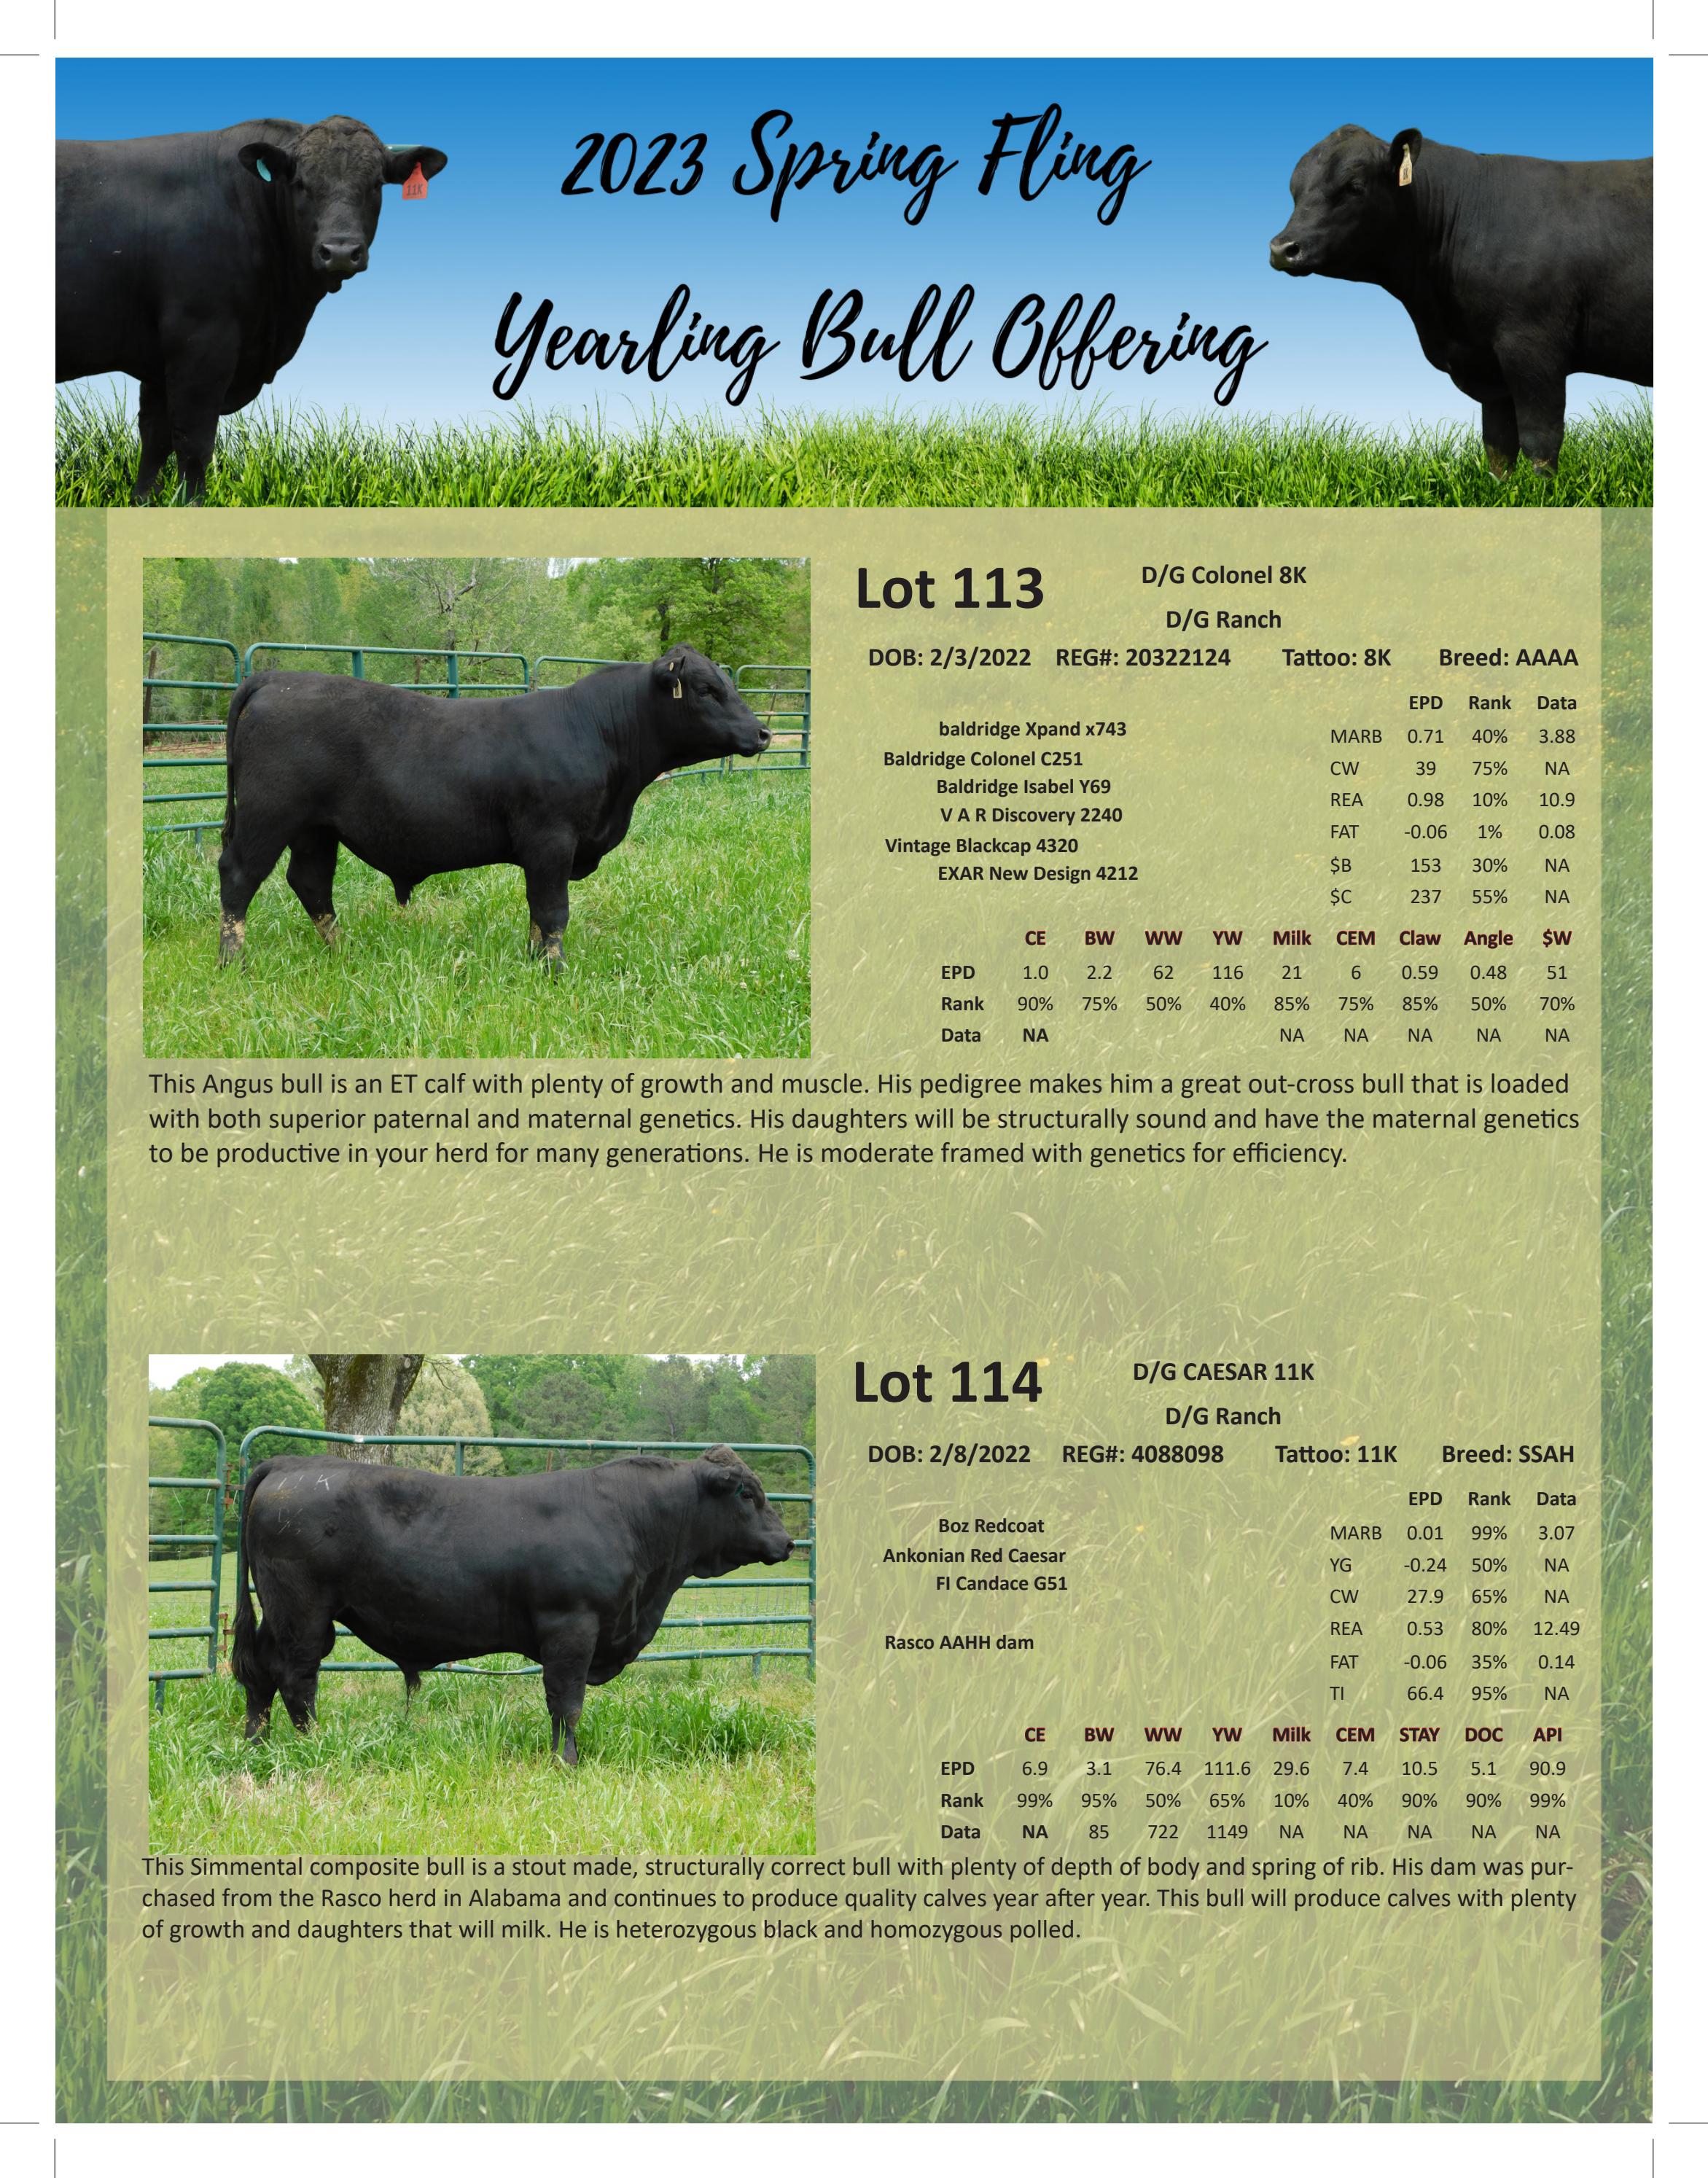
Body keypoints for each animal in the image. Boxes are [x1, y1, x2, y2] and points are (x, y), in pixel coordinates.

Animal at [57, 116, 447, 502]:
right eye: (301, 184)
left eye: (376, 184)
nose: (339, 251)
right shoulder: (201, 343)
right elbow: (193, 442)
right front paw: (191, 504)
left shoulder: (157, 361)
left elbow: (155, 438)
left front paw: (142, 502)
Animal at [214, 646, 773, 969]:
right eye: (706, 688)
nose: (764, 732)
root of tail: (276, 677)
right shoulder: (552, 838)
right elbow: (553, 910)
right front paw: (554, 971)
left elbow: (536, 910)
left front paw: (532, 961)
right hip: (269, 816)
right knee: (239, 877)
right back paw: (233, 961)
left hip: (316, 828)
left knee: (310, 883)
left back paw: (342, 951)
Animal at [230, 1446, 795, 1765]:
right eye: (747, 1494)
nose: (788, 1542)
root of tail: (292, 1464)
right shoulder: (572, 1626)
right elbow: (566, 1701)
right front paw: (566, 1761)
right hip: (303, 1611)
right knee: (297, 1679)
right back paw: (313, 1745)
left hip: (280, 1612)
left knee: (261, 1672)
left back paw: (256, 1744)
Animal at [1269, 127, 1652, 475]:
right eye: (1294, 189)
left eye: (1355, 186)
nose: (1283, 248)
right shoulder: (1488, 365)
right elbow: (1498, 446)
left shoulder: (1534, 348)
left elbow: (1540, 442)